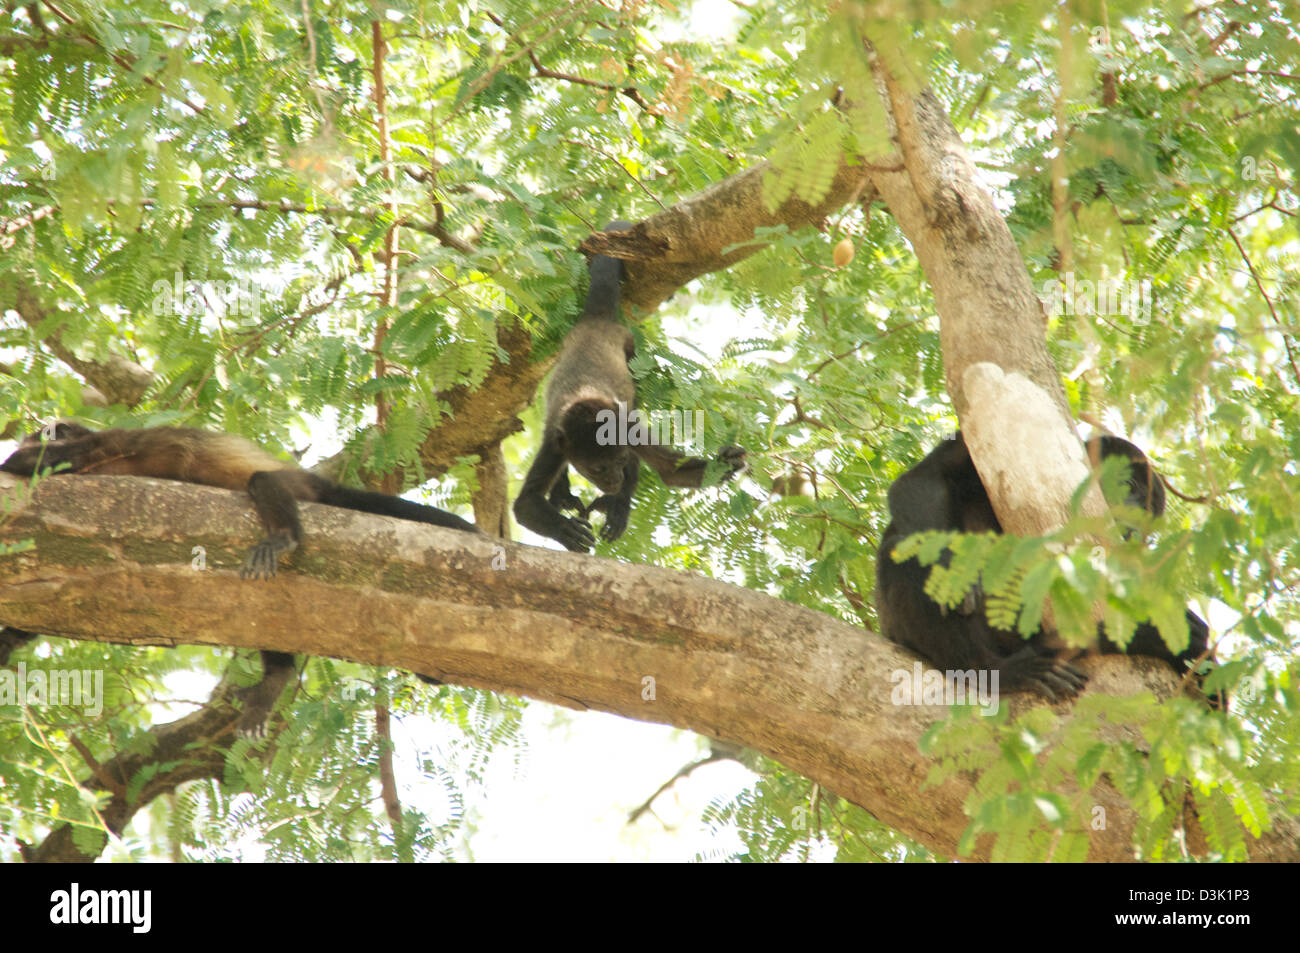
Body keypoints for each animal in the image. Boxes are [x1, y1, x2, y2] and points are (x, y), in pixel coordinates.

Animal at [1, 421, 481, 734]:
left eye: (48, 429)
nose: (36, 429)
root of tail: (318, 484)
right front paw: (9, 638)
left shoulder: (102, 443)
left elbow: (42, 461)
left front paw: (18, 457)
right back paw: (276, 679)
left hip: (295, 487)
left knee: (263, 478)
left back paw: (283, 538)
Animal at [513, 221, 747, 552]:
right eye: (597, 468)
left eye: (619, 461)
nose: (615, 480)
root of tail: (597, 321)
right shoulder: (555, 443)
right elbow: (525, 504)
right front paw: (565, 530)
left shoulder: (625, 430)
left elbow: (669, 471)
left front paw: (727, 463)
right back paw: (564, 493)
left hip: (630, 347)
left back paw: (619, 504)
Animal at [875, 431, 1218, 704]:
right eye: (1130, 485)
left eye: (1147, 515)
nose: (1133, 520)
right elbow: (924, 479)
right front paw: (951, 575)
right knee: (899, 554)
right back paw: (994, 670)